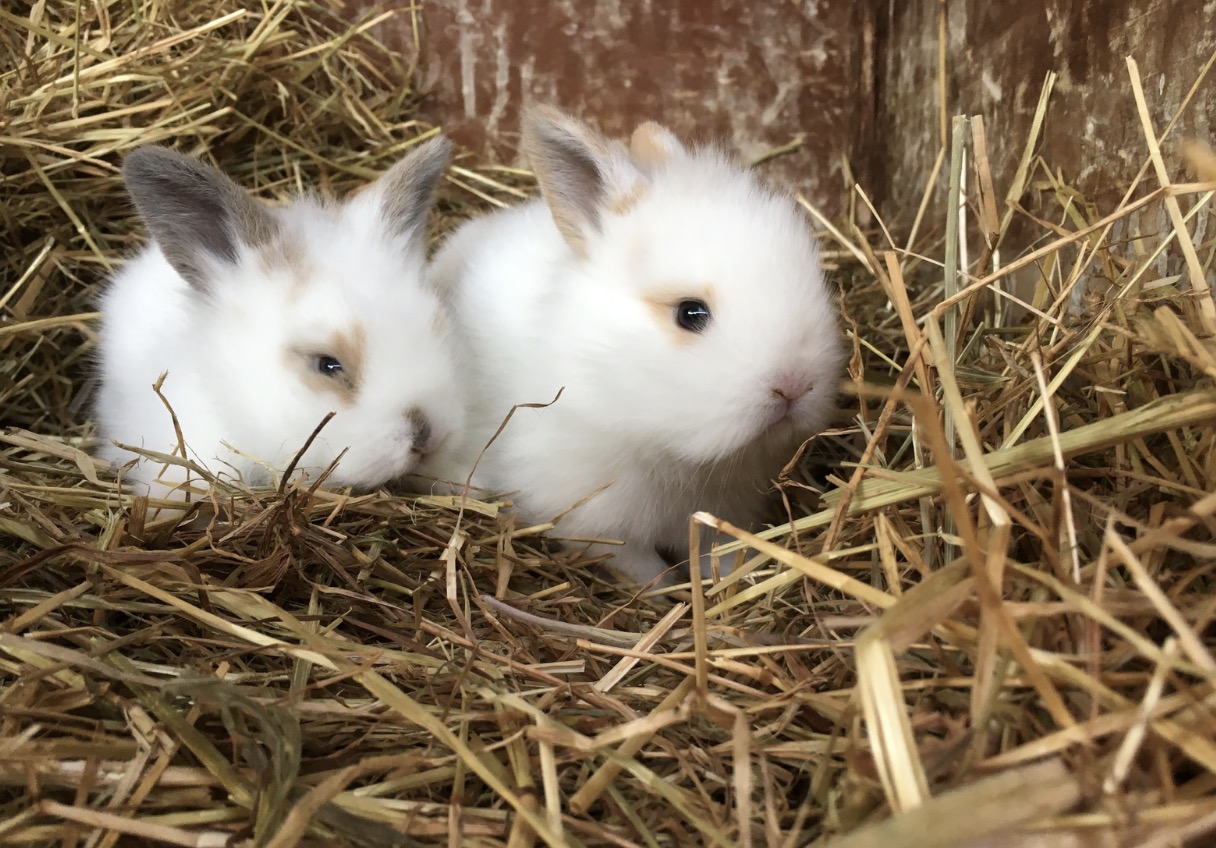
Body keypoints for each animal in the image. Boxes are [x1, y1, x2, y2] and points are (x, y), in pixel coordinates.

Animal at [413, 106, 845, 588]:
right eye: (690, 313)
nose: (795, 386)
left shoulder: (720, 511)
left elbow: (719, 553)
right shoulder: (597, 520)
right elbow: (644, 572)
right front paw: (670, 593)